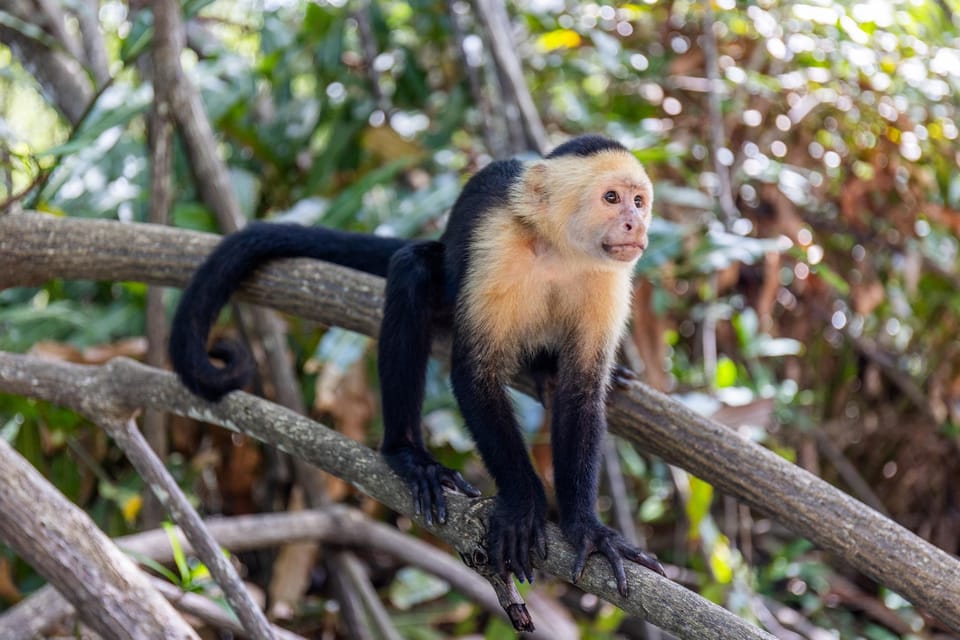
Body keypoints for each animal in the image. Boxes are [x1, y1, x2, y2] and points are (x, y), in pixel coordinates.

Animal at [169, 134, 664, 595]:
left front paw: (587, 529)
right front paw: (523, 506)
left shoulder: (608, 279)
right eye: (611, 198)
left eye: (639, 201)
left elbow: (581, 391)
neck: (561, 251)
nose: (635, 223)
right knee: (413, 270)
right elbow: (473, 376)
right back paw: (409, 454)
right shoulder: (498, 250)